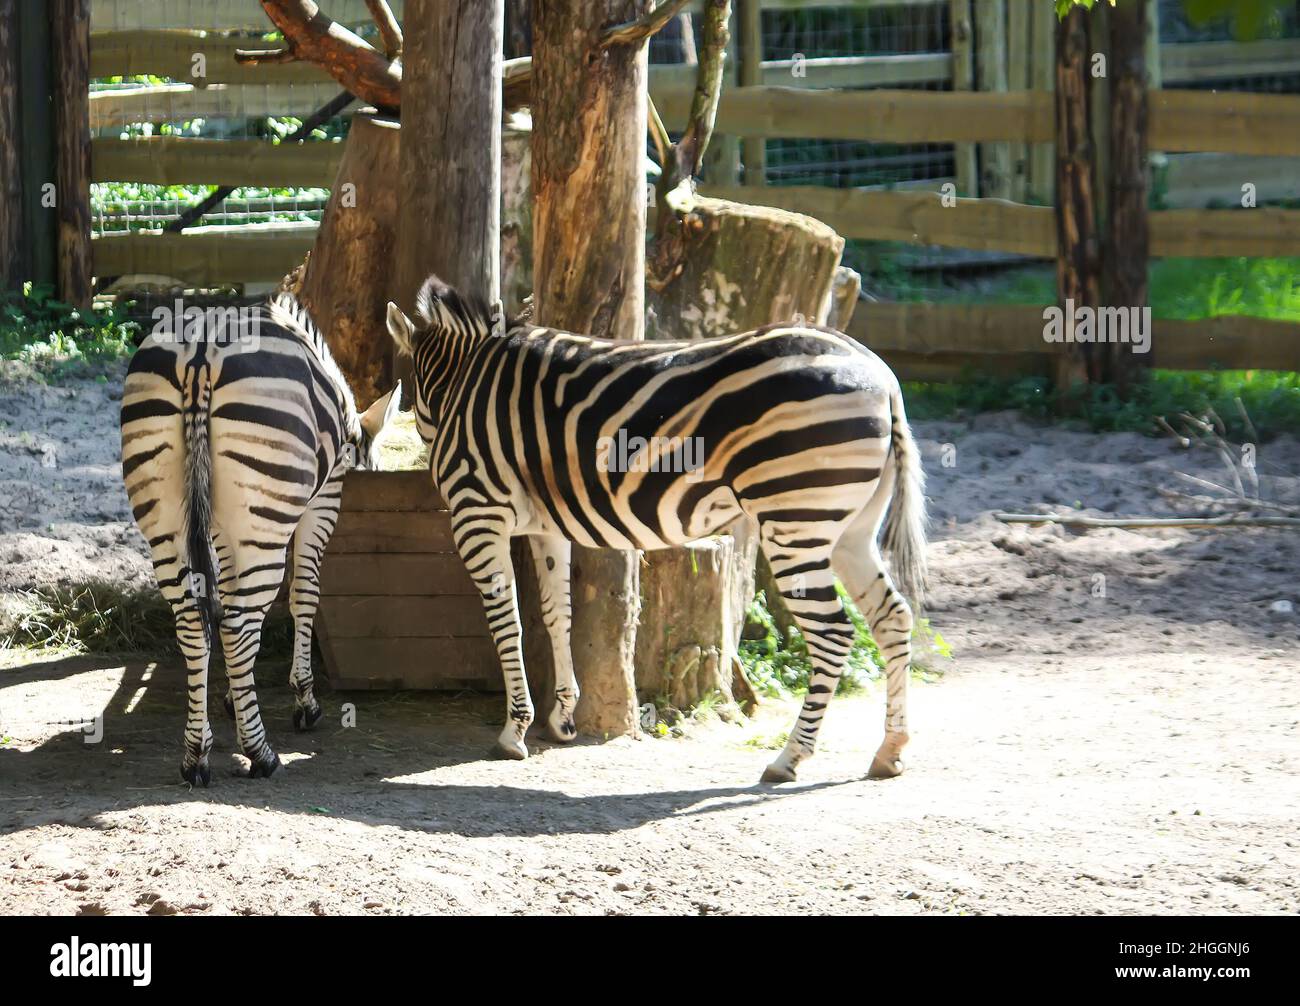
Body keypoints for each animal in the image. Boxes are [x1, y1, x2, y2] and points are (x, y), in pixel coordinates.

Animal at [120, 293, 400, 785]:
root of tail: (200, 352)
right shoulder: (322, 500)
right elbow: (305, 593)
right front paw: (303, 700)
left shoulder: (221, 527)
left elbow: (230, 594)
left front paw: (235, 696)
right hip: (264, 519)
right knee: (237, 624)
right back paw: (261, 753)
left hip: (166, 523)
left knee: (194, 622)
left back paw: (196, 755)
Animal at [385, 276, 927, 783]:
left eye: (409, 396)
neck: (463, 383)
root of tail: (881, 373)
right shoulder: (546, 526)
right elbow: (557, 614)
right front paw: (562, 719)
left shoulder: (478, 512)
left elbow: (507, 620)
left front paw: (515, 730)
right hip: (849, 529)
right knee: (892, 617)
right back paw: (892, 750)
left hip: (794, 520)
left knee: (834, 633)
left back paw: (789, 759)